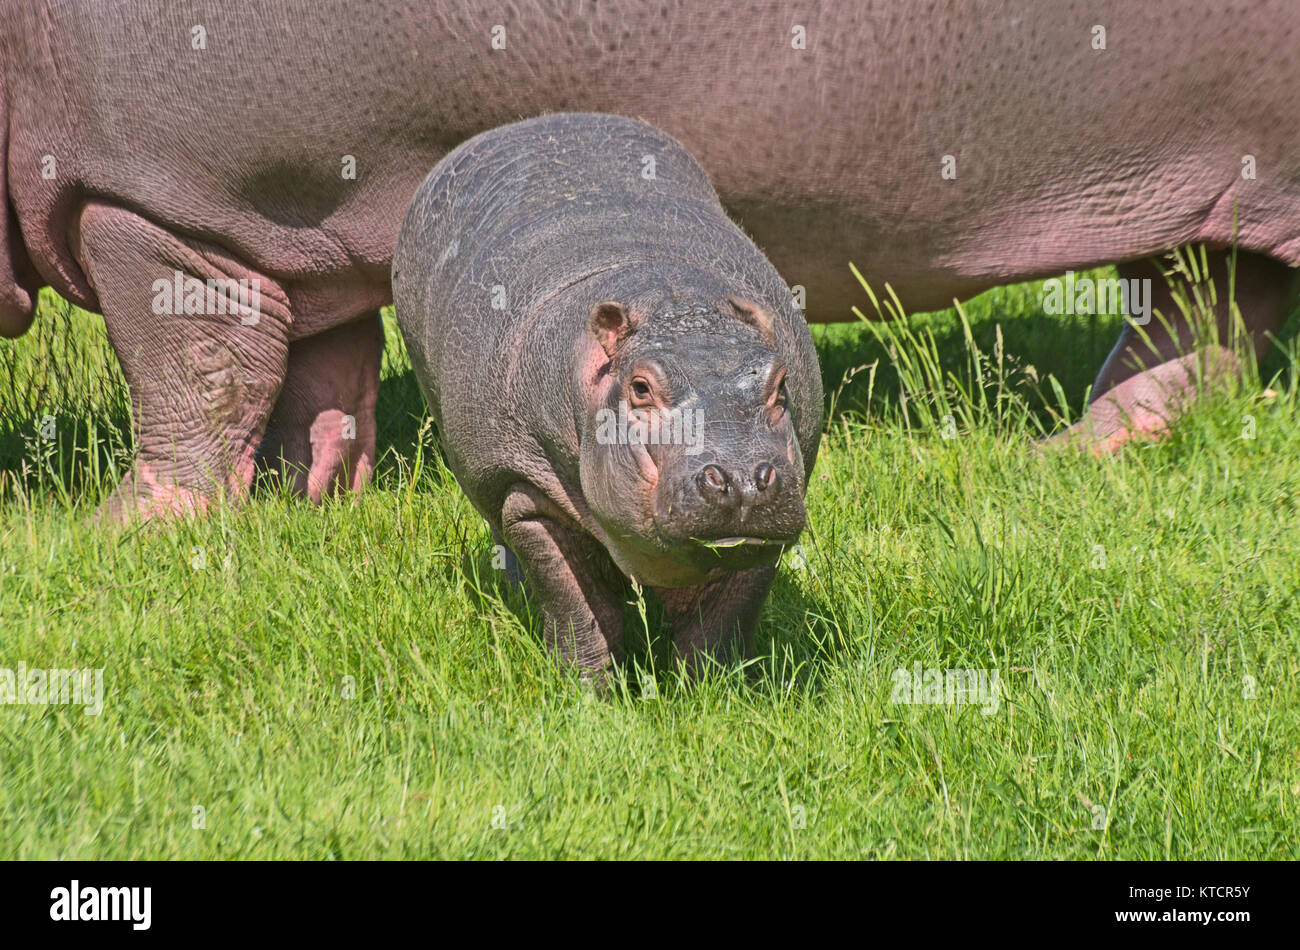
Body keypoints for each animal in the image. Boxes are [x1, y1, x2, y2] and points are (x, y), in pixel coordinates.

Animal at [1, 3, 1297, 514]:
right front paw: (308, 503)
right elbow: (317, 382)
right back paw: (1067, 456)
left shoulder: (161, 202)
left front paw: (130, 527)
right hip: (1210, 189)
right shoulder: (292, 220)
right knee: (1203, 322)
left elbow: (185, 374)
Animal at [392, 113, 822, 677]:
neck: (676, 306)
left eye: (779, 382)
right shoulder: (528, 497)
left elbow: (719, 626)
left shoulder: (762, 537)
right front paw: (584, 686)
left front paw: (712, 688)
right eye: (640, 387)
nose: (745, 478)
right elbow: (581, 611)